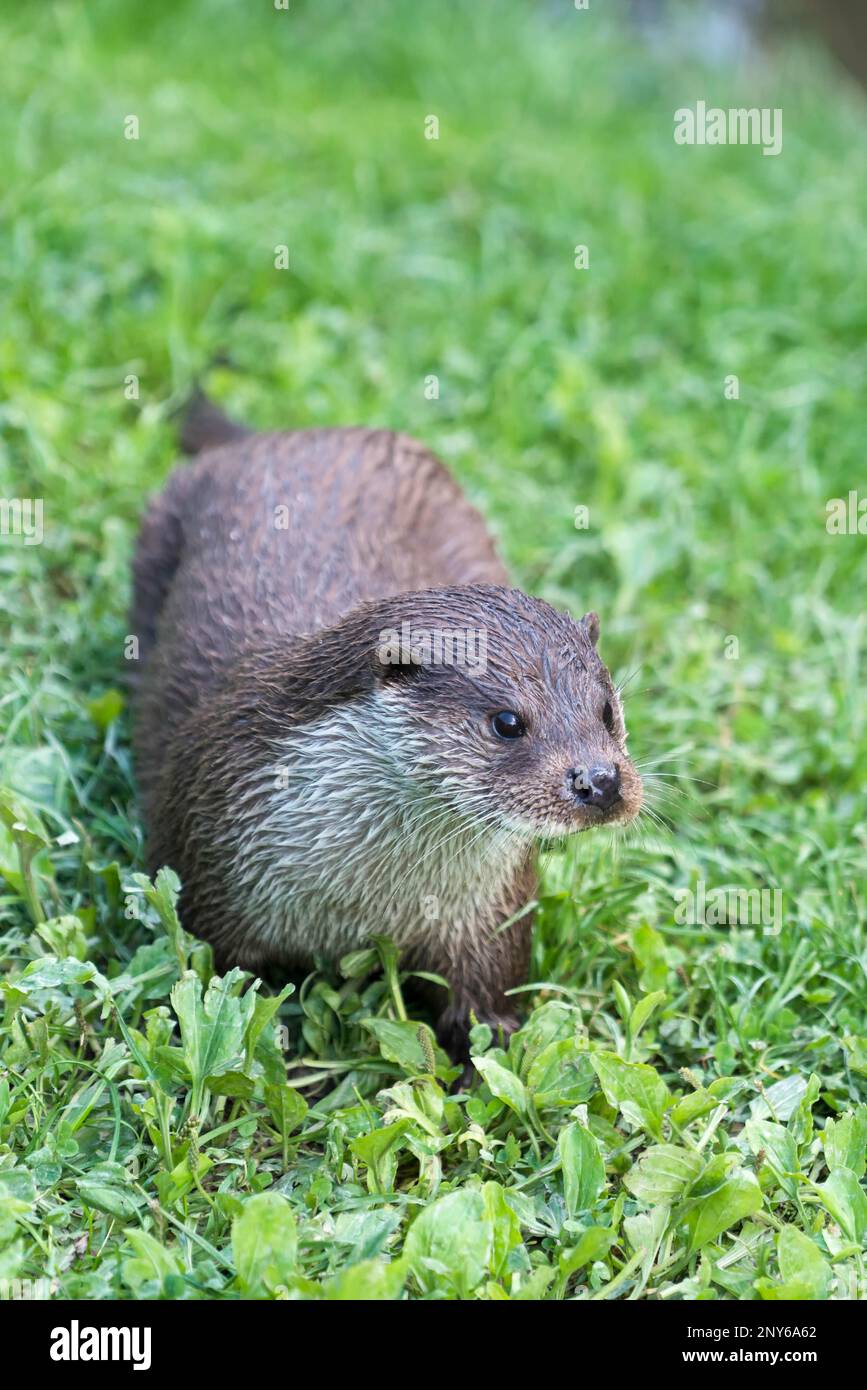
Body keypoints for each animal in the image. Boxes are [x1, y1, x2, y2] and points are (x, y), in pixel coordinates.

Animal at [130, 400, 642, 1060]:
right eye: (507, 722)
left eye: (607, 710)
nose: (600, 781)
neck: (363, 907)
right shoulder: (204, 871)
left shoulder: (493, 915)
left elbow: (488, 1012)